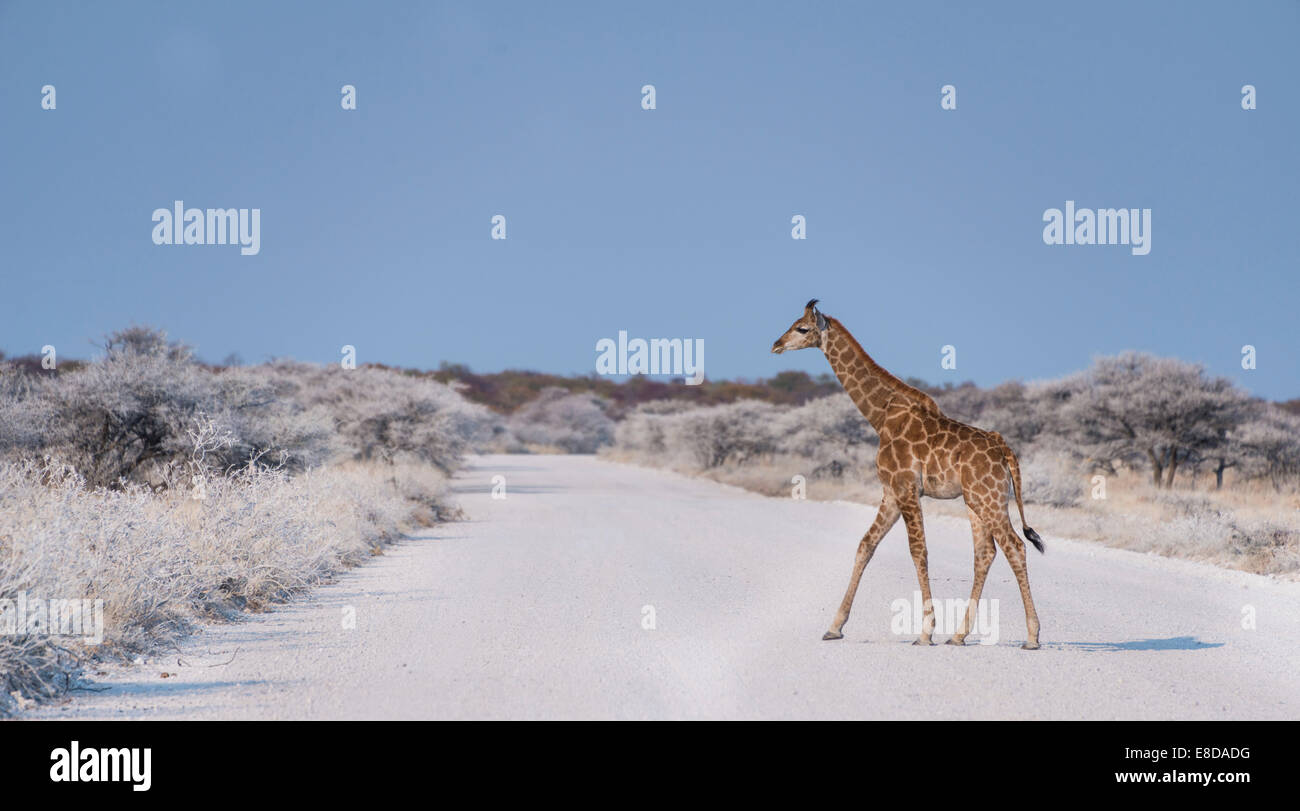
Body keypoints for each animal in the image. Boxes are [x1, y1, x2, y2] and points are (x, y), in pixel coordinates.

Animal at [771, 299, 1045, 649]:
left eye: (801, 328)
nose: (776, 345)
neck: (881, 414)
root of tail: (1004, 449)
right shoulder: (890, 491)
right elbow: (865, 545)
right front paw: (834, 627)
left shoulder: (905, 487)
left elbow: (918, 551)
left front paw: (925, 632)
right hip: (976, 500)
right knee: (985, 552)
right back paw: (958, 635)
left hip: (988, 498)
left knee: (1014, 546)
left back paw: (1032, 636)